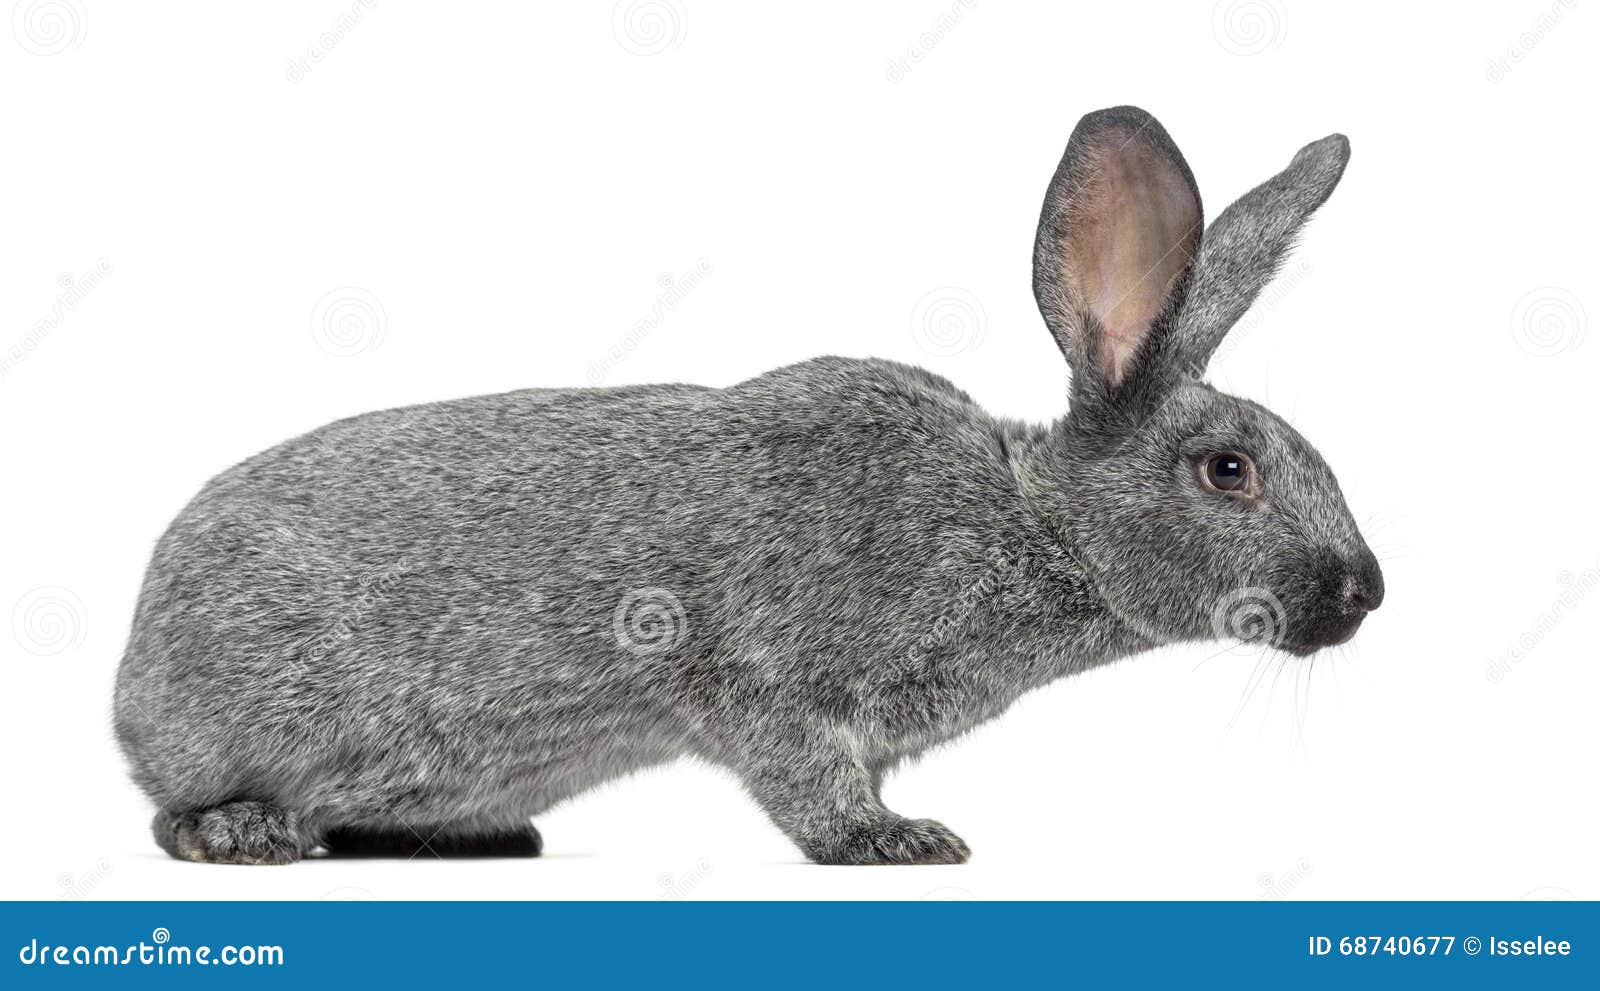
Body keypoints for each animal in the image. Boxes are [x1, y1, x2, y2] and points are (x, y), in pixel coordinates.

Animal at [114, 106, 1382, 866]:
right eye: (1228, 470)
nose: (1365, 590)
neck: (1031, 523)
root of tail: (133, 659)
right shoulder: (766, 681)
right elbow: (807, 780)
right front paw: (896, 842)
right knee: (171, 811)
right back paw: (247, 833)